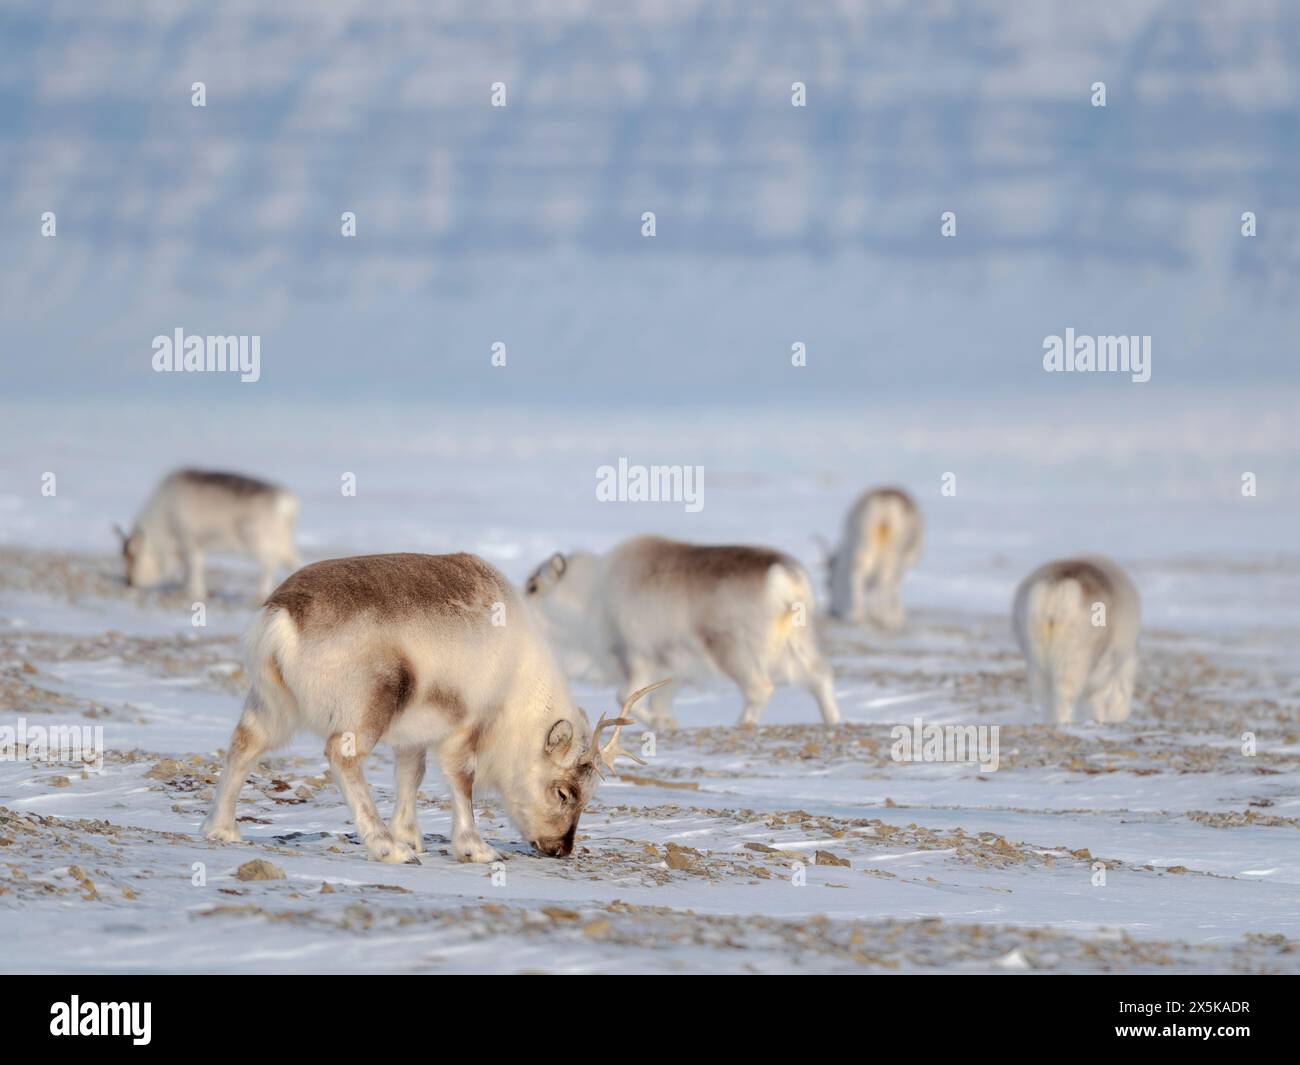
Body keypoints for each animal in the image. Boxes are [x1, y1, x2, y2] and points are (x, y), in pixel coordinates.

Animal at [115, 468, 301, 601]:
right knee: (293, 561)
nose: (130, 583)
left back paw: (262, 594)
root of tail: (287, 504)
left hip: (259, 543)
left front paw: (196, 593)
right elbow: (189, 568)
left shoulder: (188, 540)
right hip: (284, 543)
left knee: (269, 565)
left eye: (132, 557)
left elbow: (194, 565)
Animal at [201, 552, 662, 863]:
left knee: (244, 744)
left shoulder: (414, 734)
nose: (561, 848)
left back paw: (222, 830)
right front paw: (474, 849)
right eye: (564, 792)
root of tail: (282, 617)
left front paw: (410, 836)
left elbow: (411, 775)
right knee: (342, 758)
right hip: (366, 706)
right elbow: (462, 782)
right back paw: (385, 848)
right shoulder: (465, 728)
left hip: (272, 704)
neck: (518, 686)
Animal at [524, 536, 840, 730]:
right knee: (820, 676)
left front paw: (659, 723)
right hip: (797, 644)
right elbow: (657, 701)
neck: (589, 597)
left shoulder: (637, 656)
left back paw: (741, 723)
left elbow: (624, 695)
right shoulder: (671, 670)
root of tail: (784, 578)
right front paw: (666, 722)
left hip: (733, 650)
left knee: (760, 688)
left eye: (534, 587)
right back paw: (833, 720)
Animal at [825, 487, 922, 629]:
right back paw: (882, 617)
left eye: (829, 583)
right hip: (891, 552)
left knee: (859, 572)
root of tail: (885, 506)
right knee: (882, 578)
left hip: (863, 544)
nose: (832, 611)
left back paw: (857, 615)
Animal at [1012, 556, 1139, 726]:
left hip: (1036, 655)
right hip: (1073, 658)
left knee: (1047, 694)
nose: (1121, 719)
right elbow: (1100, 699)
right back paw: (1065, 723)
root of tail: (1059, 586)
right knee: (1064, 694)